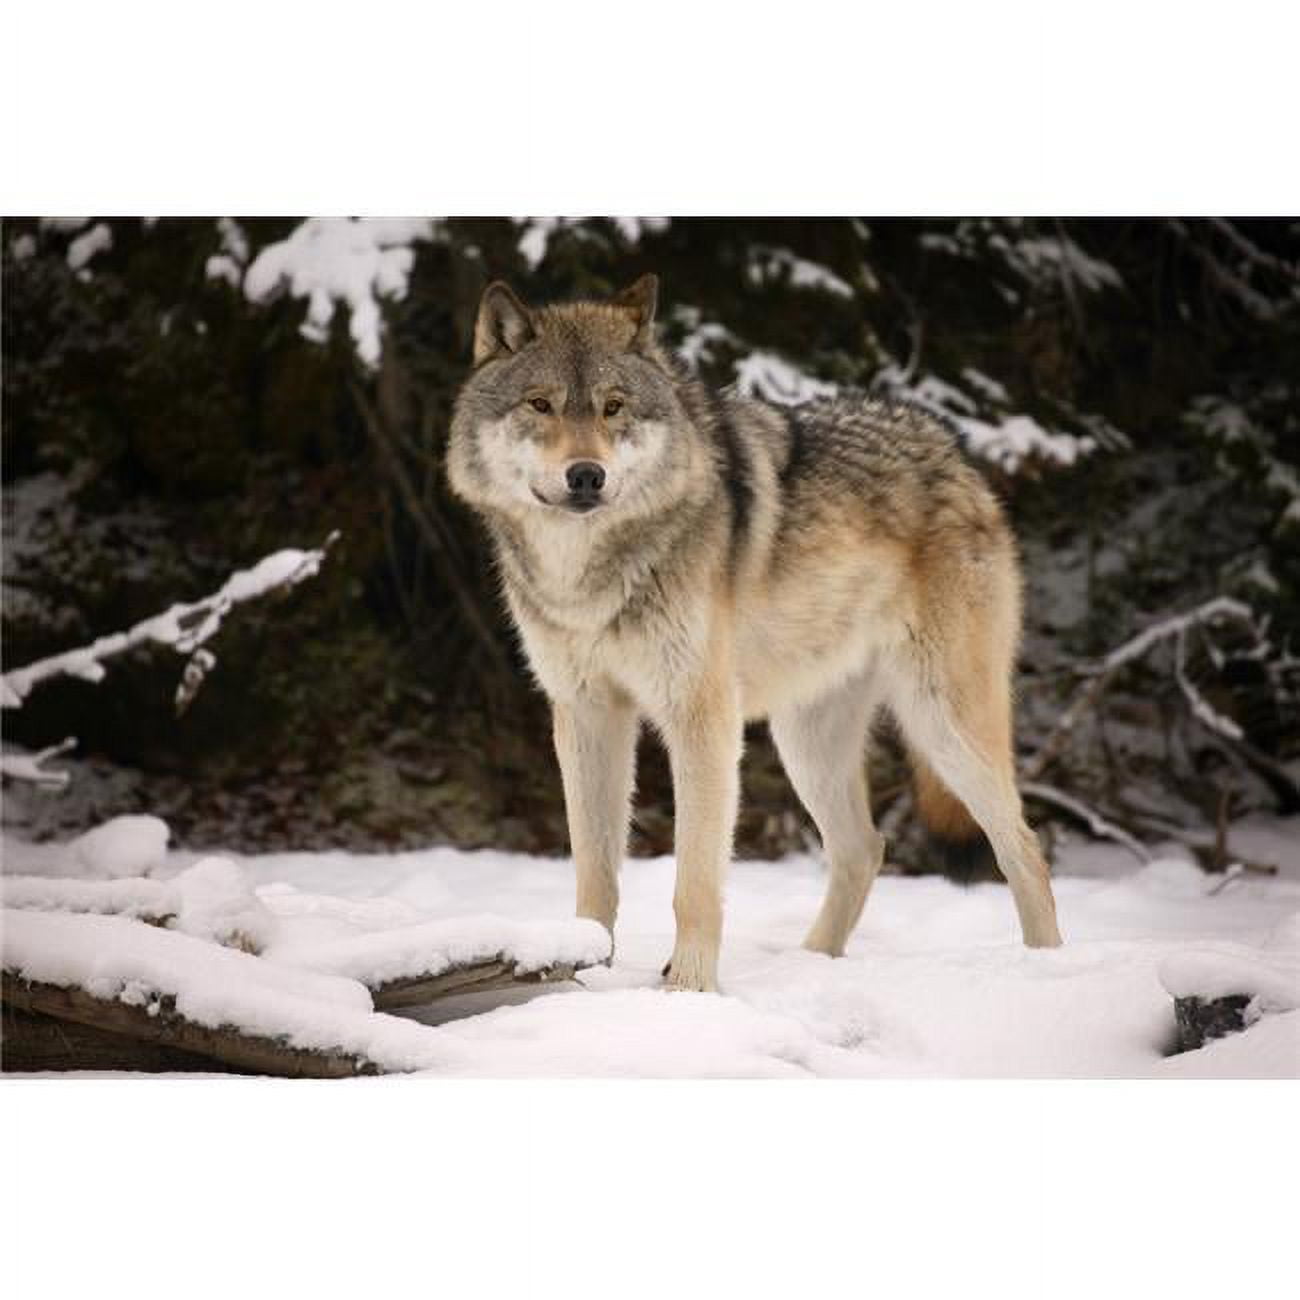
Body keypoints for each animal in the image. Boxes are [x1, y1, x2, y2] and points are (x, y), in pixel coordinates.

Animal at [447, 274, 1062, 992]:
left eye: (613, 407)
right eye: (540, 404)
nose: (586, 476)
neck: (588, 573)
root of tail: (954, 452)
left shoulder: (701, 718)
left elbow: (694, 883)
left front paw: (687, 991)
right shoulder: (587, 713)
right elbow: (595, 874)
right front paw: (584, 975)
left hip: (944, 725)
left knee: (1023, 846)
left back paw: (1049, 968)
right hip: (807, 742)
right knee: (864, 848)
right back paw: (811, 964)